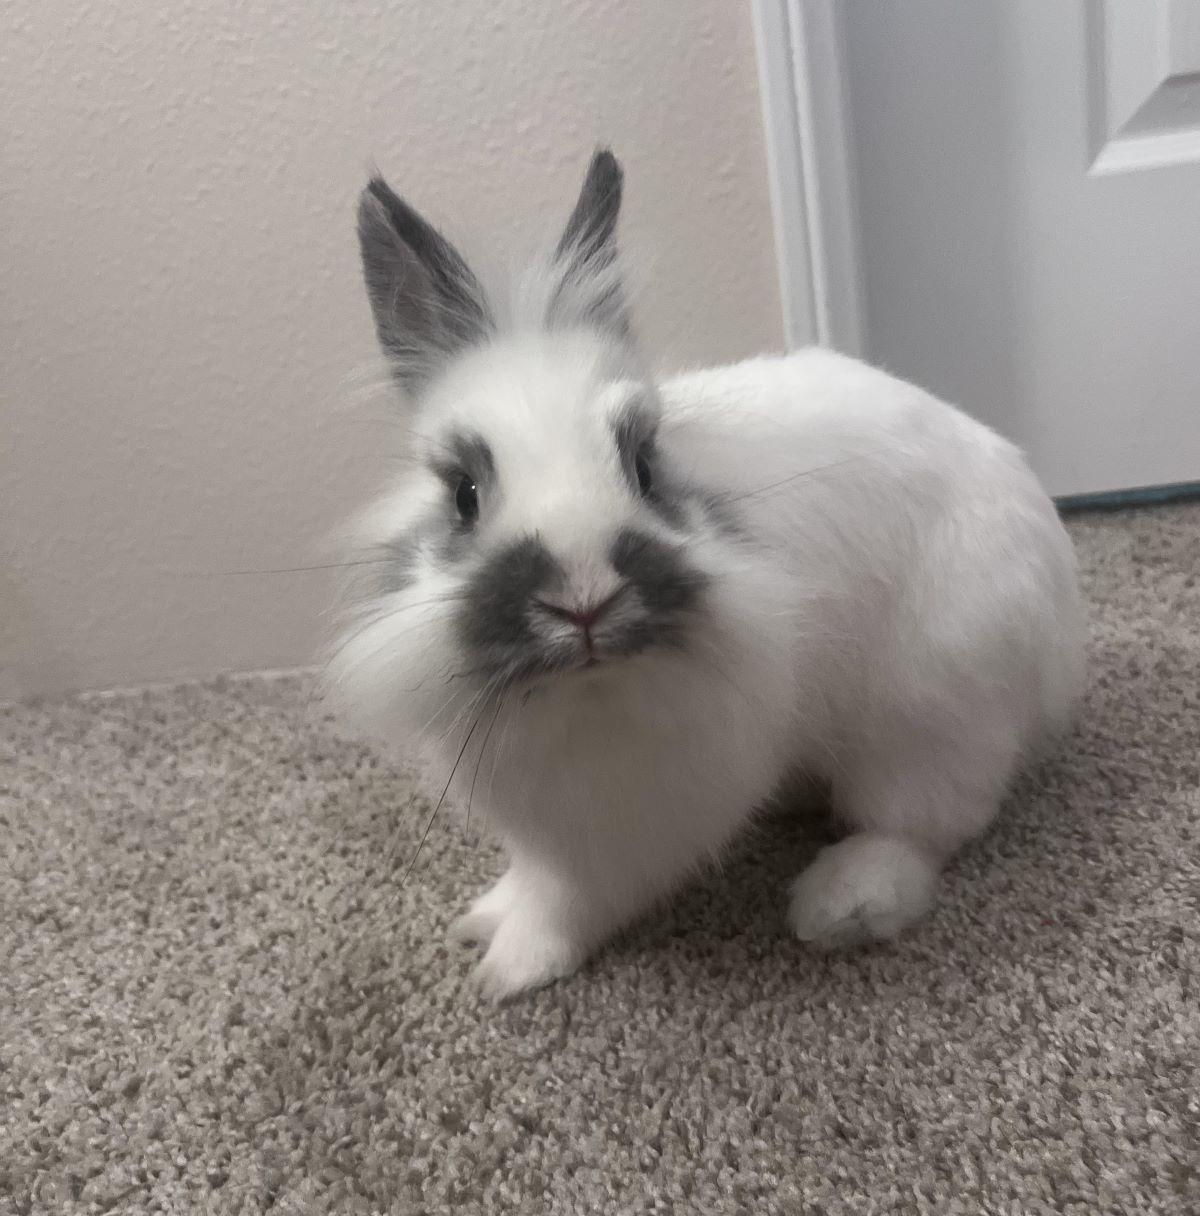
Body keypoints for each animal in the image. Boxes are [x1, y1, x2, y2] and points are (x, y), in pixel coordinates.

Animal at [325, 149, 1086, 1000]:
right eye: (463, 493)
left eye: (644, 466)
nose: (583, 601)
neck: (586, 695)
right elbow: (531, 879)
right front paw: (483, 918)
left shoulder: (627, 824)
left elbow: (569, 899)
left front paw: (509, 970)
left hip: (934, 708)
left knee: (919, 827)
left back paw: (840, 903)